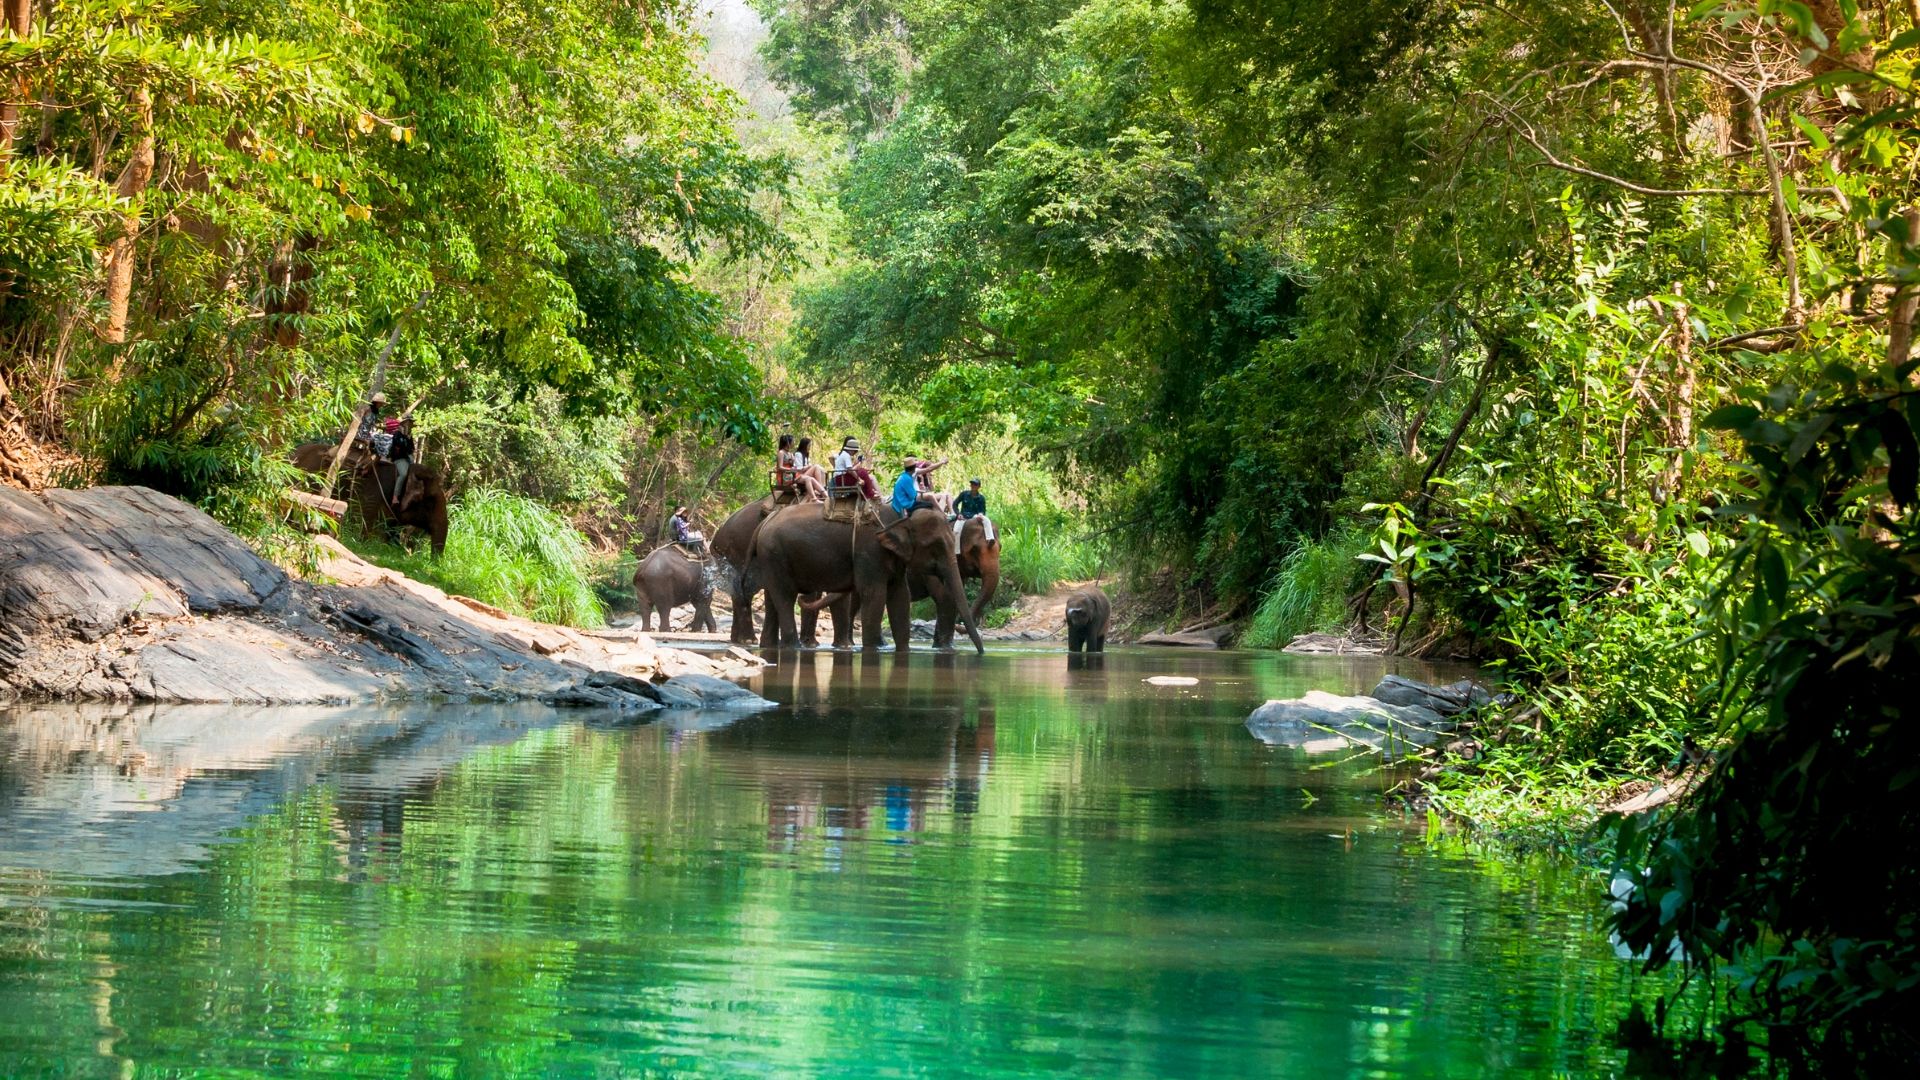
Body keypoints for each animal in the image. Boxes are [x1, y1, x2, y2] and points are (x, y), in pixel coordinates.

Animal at [749, 501, 985, 655]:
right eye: (934, 546)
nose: (981, 653)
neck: (901, 518)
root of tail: (764, 522)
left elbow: (900, 596)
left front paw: (904, 652)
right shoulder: (870, 551)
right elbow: (875, 595)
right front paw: (871, 650)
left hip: (771, 560)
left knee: (772, 600)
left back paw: (769, 646)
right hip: (774, 554)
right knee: (785, 598)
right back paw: (793, 647)